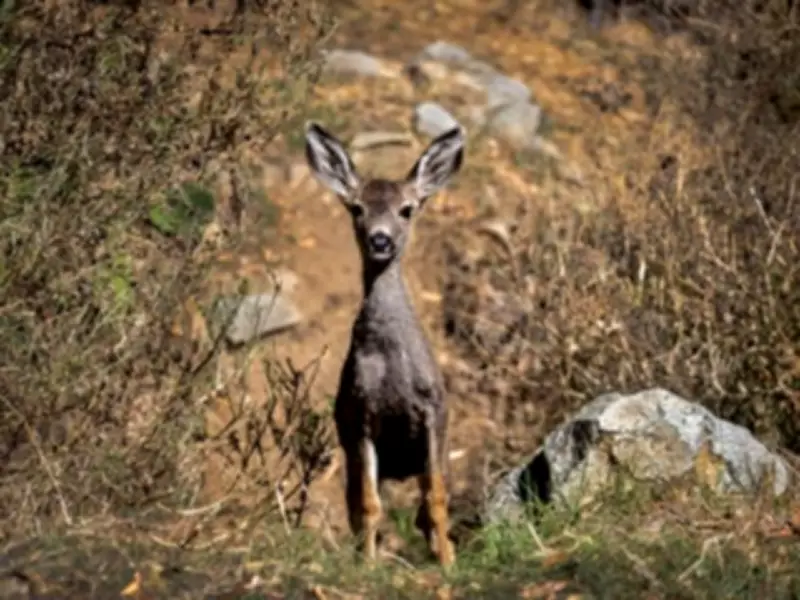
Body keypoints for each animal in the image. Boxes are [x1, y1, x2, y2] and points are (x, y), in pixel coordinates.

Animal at [304, 121, 465, 567]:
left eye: (407, 209)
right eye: (357, 208)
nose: (380, 240)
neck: (392, 362)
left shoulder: (433, 409)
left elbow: (437, 499)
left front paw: (449, 565)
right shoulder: (361, 415)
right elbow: (370, 505)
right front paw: (368, 566)